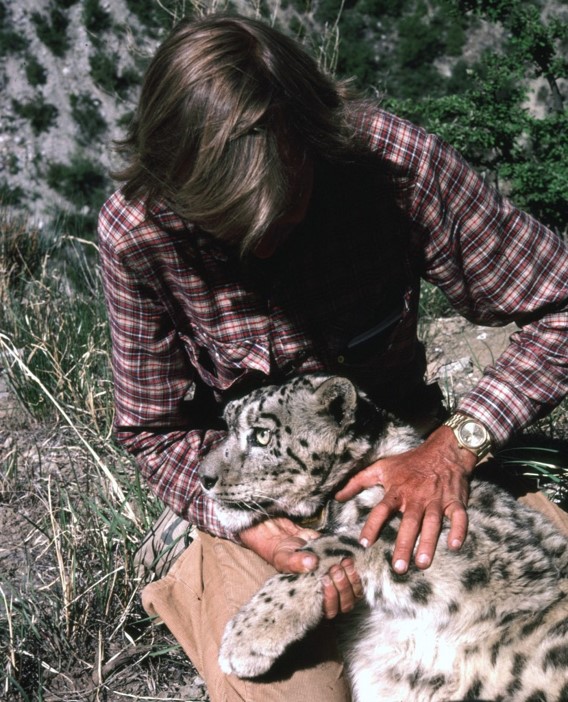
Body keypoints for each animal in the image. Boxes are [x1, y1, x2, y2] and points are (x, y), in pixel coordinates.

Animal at [199, 374, 568, 702]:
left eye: (261, 436)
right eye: (227, 426)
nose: (203, 477)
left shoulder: (480, 546)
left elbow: (350, 540)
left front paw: (246, 635)